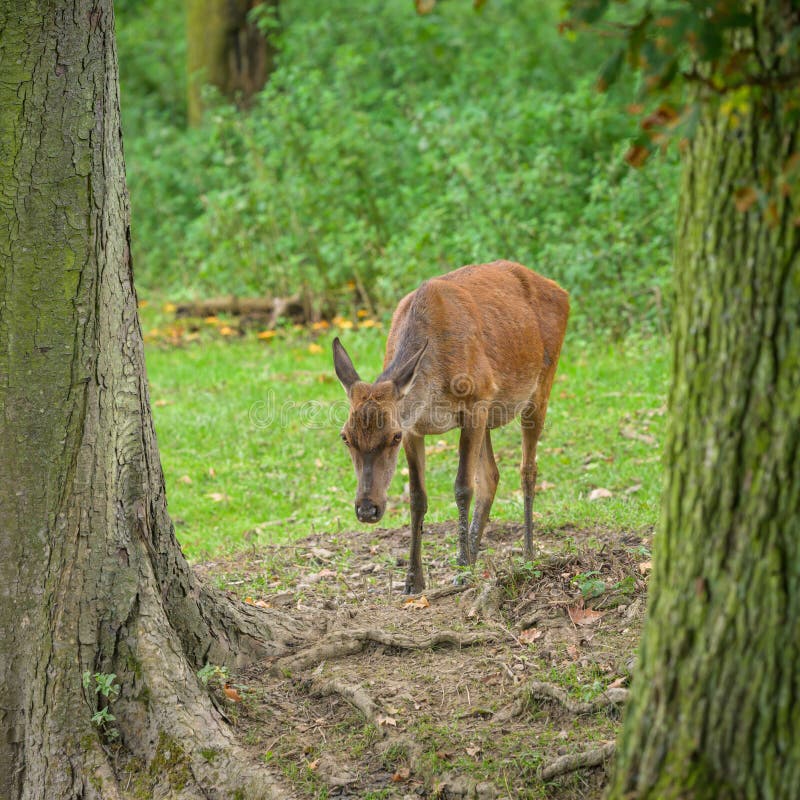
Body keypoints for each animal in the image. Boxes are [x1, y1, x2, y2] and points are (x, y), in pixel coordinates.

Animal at [332, 260, 569, 593]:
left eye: (392, 436)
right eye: (345, 436)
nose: (367, 509)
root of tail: (562, 291)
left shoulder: (474, 401)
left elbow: (462, 487)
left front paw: (463, 570)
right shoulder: (416, 426)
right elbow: (418, 497)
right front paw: (414, 579)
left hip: (541, 384)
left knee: (527, 469)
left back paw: (526, 554)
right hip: (491, 412)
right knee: (492, 475)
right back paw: (470, 558)